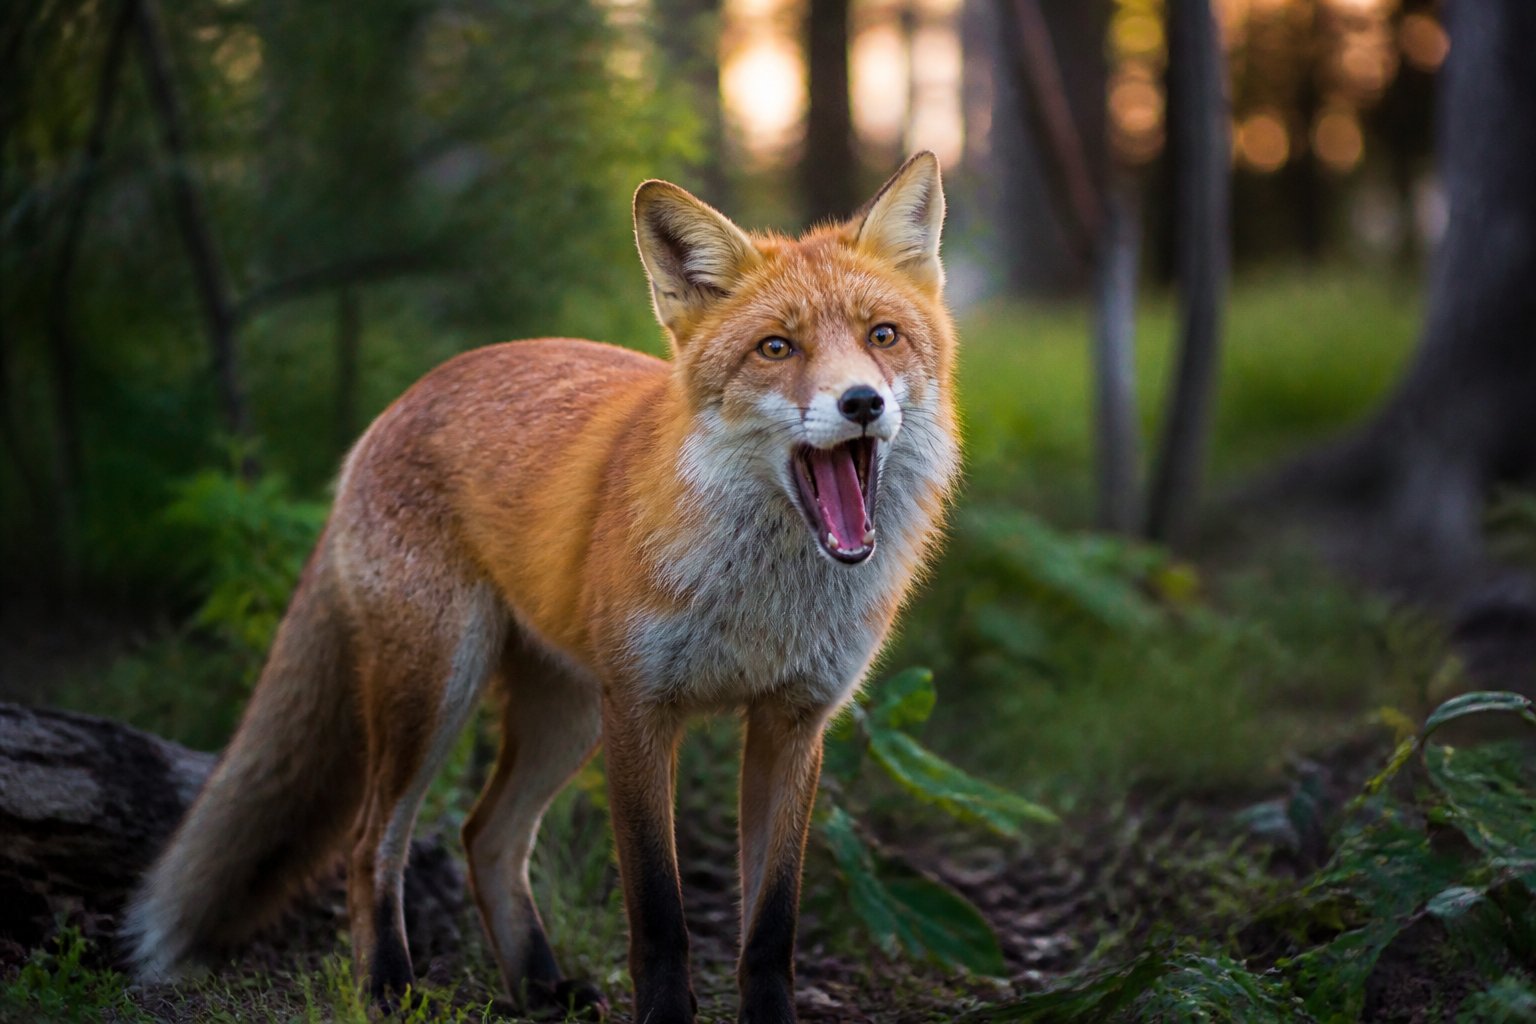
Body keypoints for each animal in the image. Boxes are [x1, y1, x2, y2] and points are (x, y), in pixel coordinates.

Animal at [125, 152, 960, 1023]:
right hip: (438, 689)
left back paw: (537, 985)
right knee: (368, 843)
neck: (767, 603)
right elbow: (658, 913)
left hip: (565, 714)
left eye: (882, 336)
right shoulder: (642, 712)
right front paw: (665, 1016)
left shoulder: (792, 723)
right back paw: (387, 986)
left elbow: (771, 925)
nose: (861, 401)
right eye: (776, 347)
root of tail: (400, 404)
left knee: (485, 835)